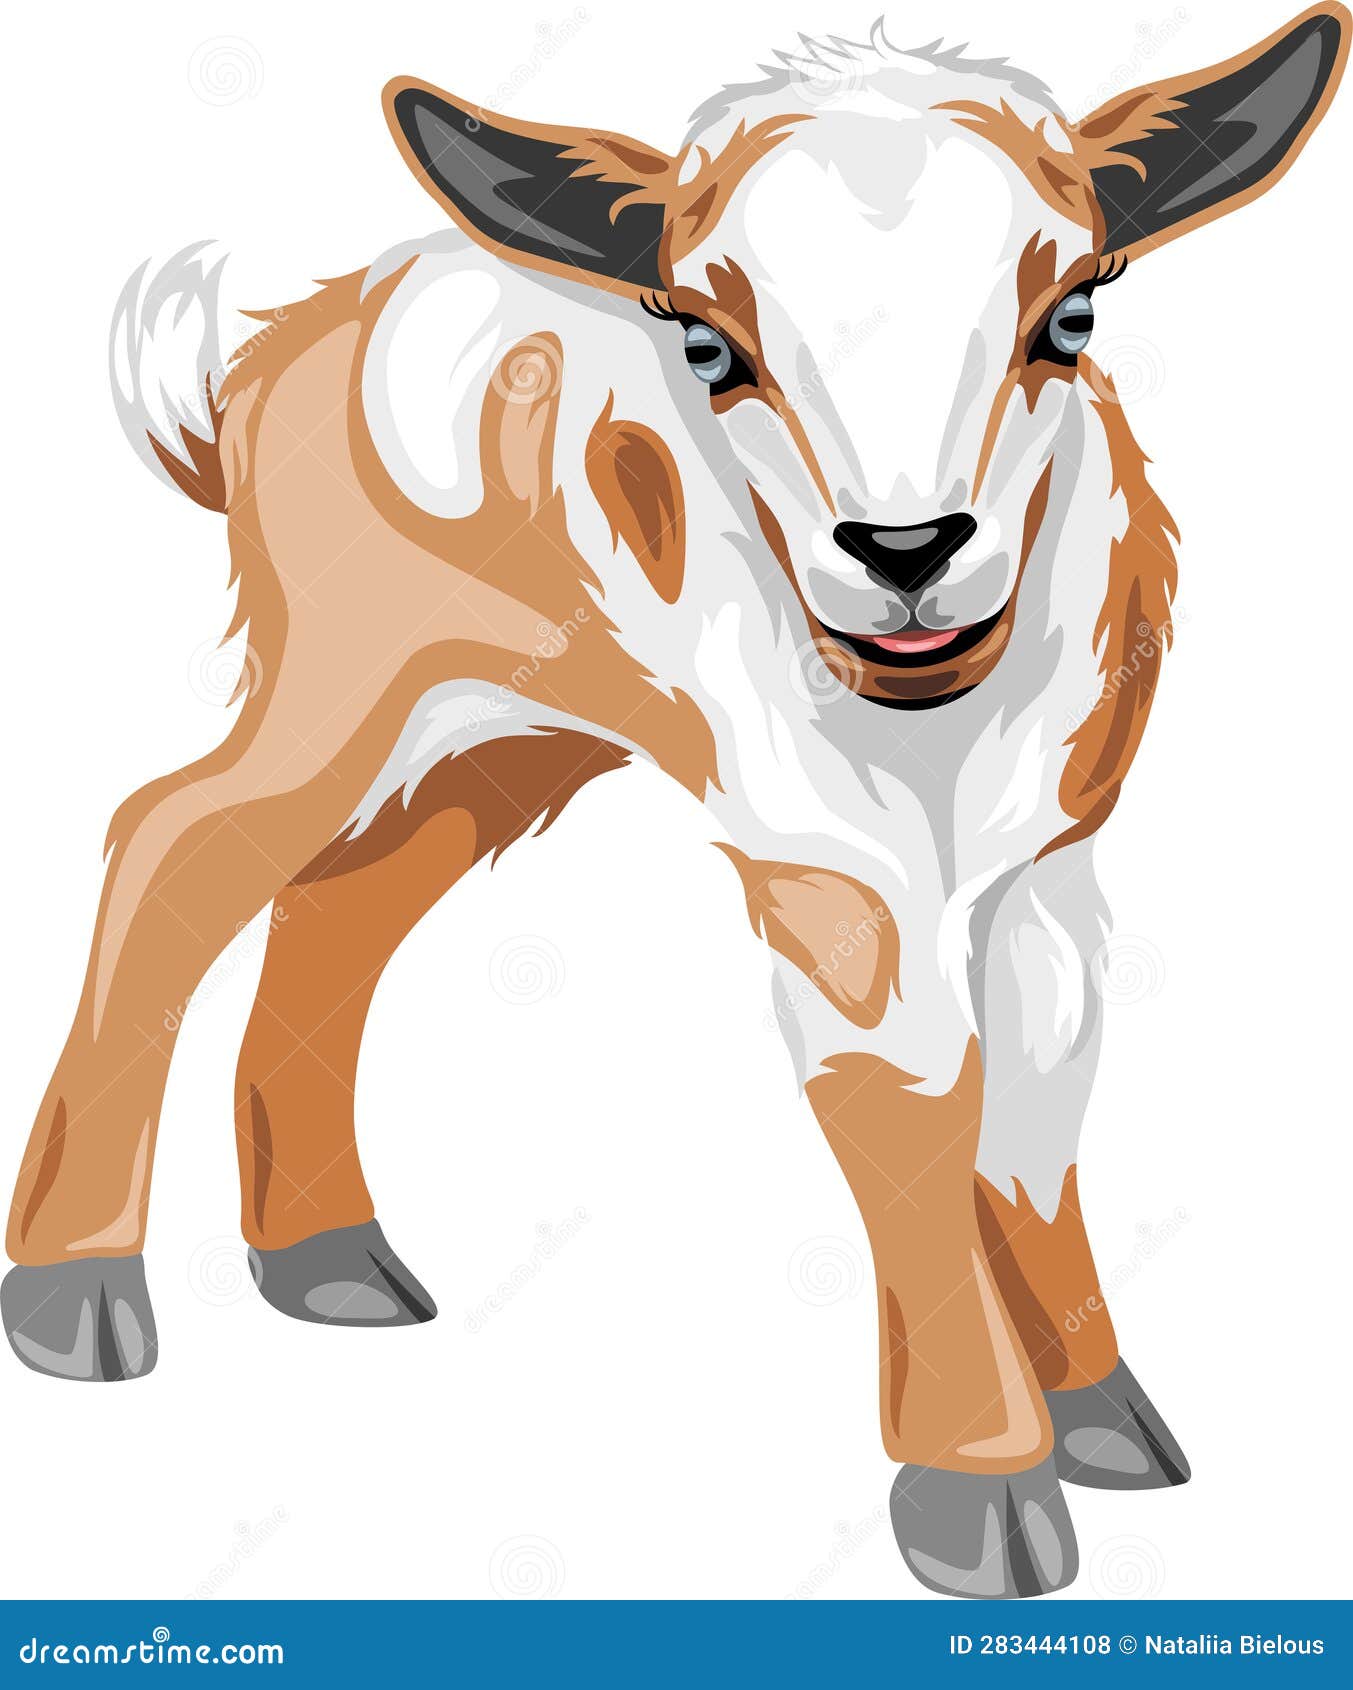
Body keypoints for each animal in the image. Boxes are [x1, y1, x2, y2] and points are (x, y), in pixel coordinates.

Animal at [4, 8, 1346, 1600]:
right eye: (707, 340)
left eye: (1071, 314)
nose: (904, 552)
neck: (936, 735)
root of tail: (280, 344)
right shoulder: (825, 860)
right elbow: (911, 1102)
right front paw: (979, 1489)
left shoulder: (1051, 860)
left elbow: (1033, 1102)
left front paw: (1101, 1412)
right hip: (342, 675)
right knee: (178, 840)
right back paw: (75, 1290)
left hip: (500, 739)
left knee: (344, 899)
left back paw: (327, 1258)